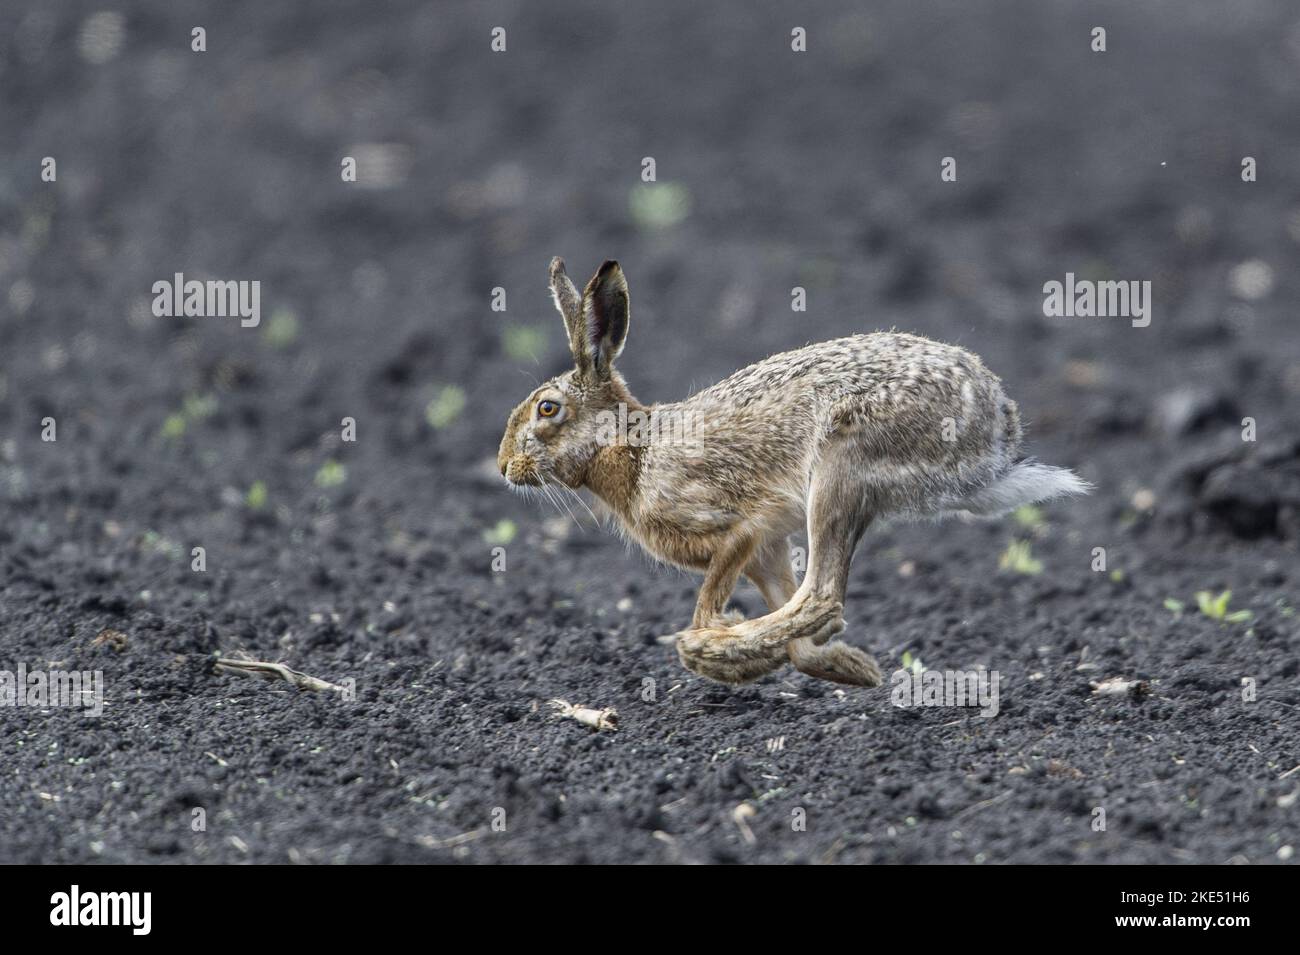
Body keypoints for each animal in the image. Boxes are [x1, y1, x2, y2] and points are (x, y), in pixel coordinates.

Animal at [498, 258, 1090, 686]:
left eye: (547, 409)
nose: (504, 466)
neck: (633, 449)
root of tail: (996, 436)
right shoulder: (764, 551)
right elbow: (792, 626)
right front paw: (835, 663)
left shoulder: (734, 528)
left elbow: (712, 606)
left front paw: (719, 644)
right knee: (813, 602)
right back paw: (856, 669)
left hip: (839, 468)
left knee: (822, 594)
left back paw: (714, 647)